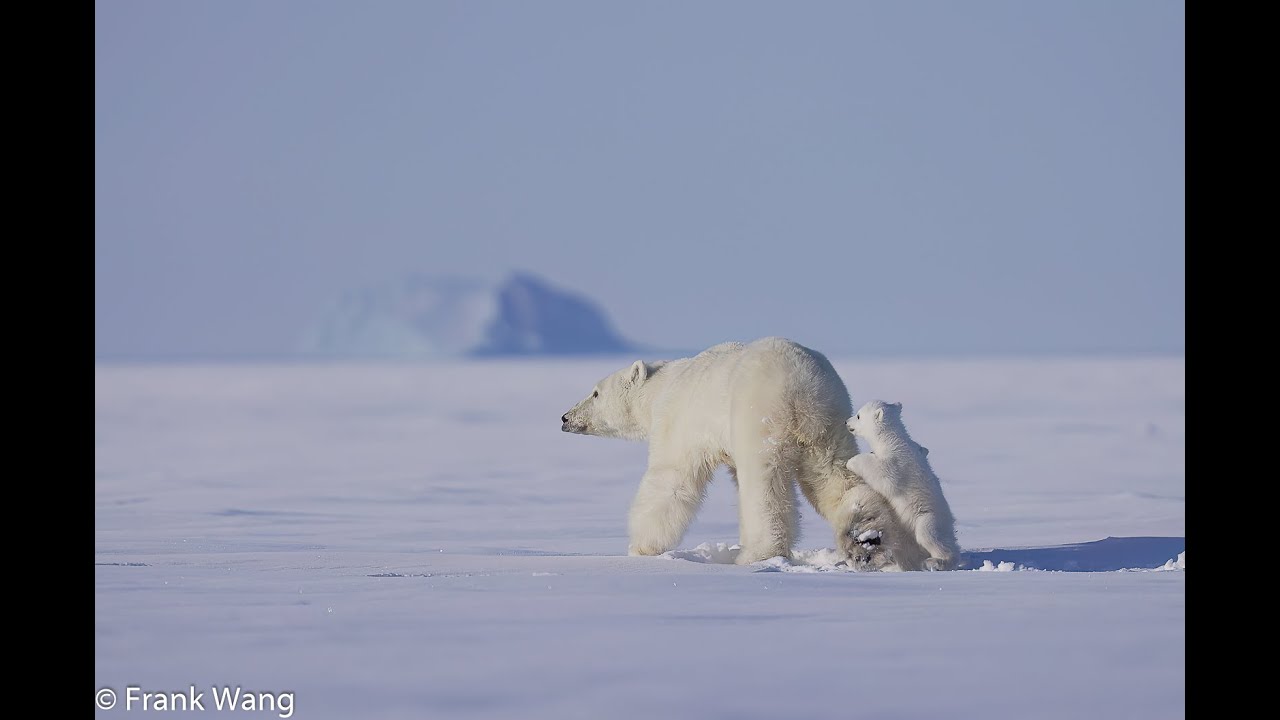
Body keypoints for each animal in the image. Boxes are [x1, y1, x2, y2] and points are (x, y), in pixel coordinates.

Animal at [560, 337, 931, 569]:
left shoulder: (680, 421)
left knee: (764, 484)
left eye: (595, 393)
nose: (565, 418)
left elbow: (671, 479)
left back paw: (757, 552)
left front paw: (640, 547)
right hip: (831, 422)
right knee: (834, 475)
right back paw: (865, 535)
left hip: (759, 415)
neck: (662, 386)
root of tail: (802, 384)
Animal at [845, 400, 962, 571]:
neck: (893, 440)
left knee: (929, 535)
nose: (846, 422)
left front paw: (851, 461)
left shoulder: (897, 462)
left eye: (858, 415)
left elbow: (884, 476)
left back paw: (937, 561)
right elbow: (923, 449)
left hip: (929, 517)